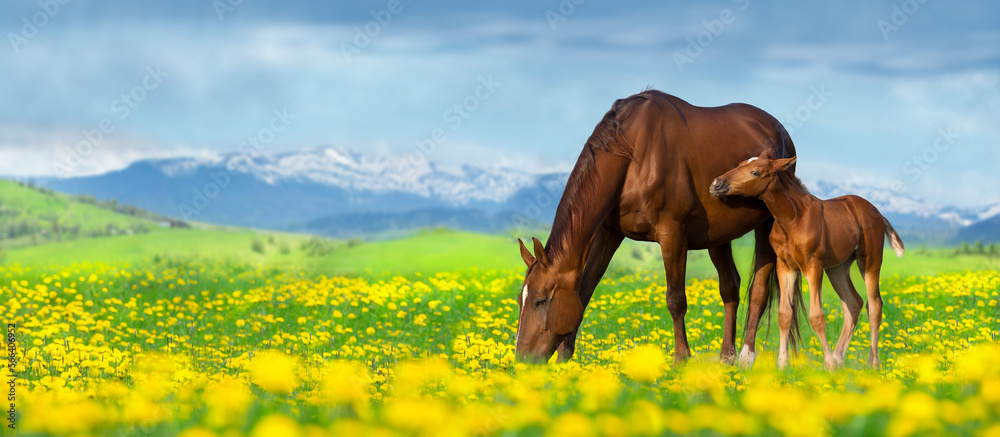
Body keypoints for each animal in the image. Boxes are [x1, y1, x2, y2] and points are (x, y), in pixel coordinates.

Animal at [514, 89, 800, 365]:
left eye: (540, 301)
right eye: (520, 300)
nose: (523, 360)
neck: (633, 154)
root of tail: (780, 132)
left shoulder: (672, 234)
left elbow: (676, 299)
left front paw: (681, 359)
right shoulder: (609, 234)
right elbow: (584, 292)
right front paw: (564, 358)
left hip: (768, 224)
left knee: (758, 291)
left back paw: (745, 356)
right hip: (719, 236)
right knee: (730, 287)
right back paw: (726, 356)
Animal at [708, 150, 904, 369]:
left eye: (755, 172)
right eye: (740, 164)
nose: (716, 184)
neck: (792, 218)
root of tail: (879, 214)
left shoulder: (813, 266)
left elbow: (816, 315)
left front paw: (828, 365)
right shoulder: (786, 267)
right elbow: (784, 314)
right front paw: (783, 364)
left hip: (870, 261)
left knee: (874, 305)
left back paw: (872, 363)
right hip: (838, 267)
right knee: (853, 303)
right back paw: (839, 357)